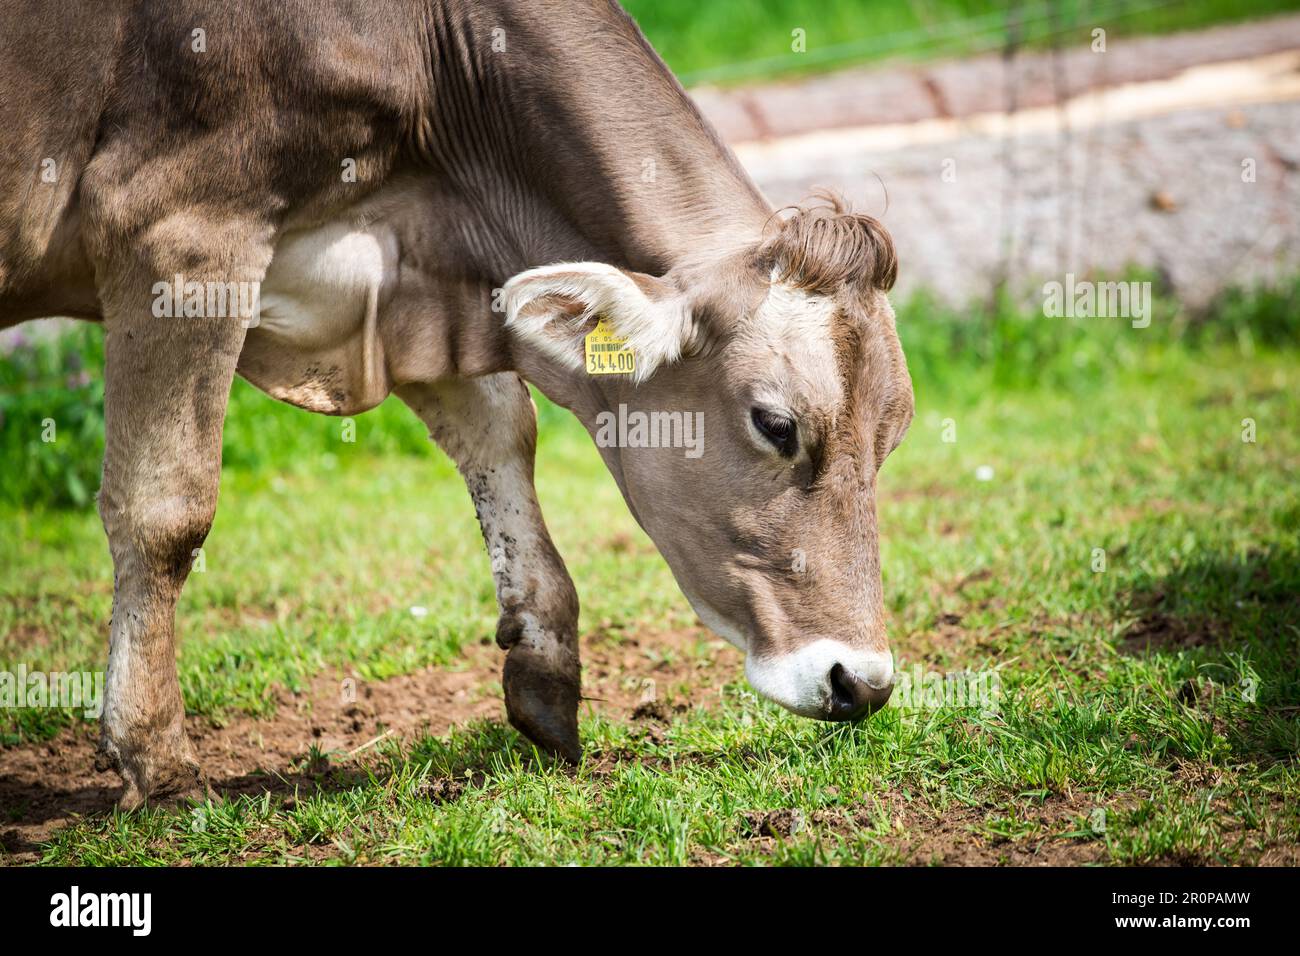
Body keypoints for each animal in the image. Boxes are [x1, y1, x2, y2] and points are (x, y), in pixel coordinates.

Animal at [0, 0, 913, 808]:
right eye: (776, 425)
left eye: (891, 439)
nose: (861, 683)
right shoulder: (179, 230)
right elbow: (165, 511)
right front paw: (156, 761)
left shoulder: (407, 286)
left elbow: (501, 435)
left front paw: (545, 668)